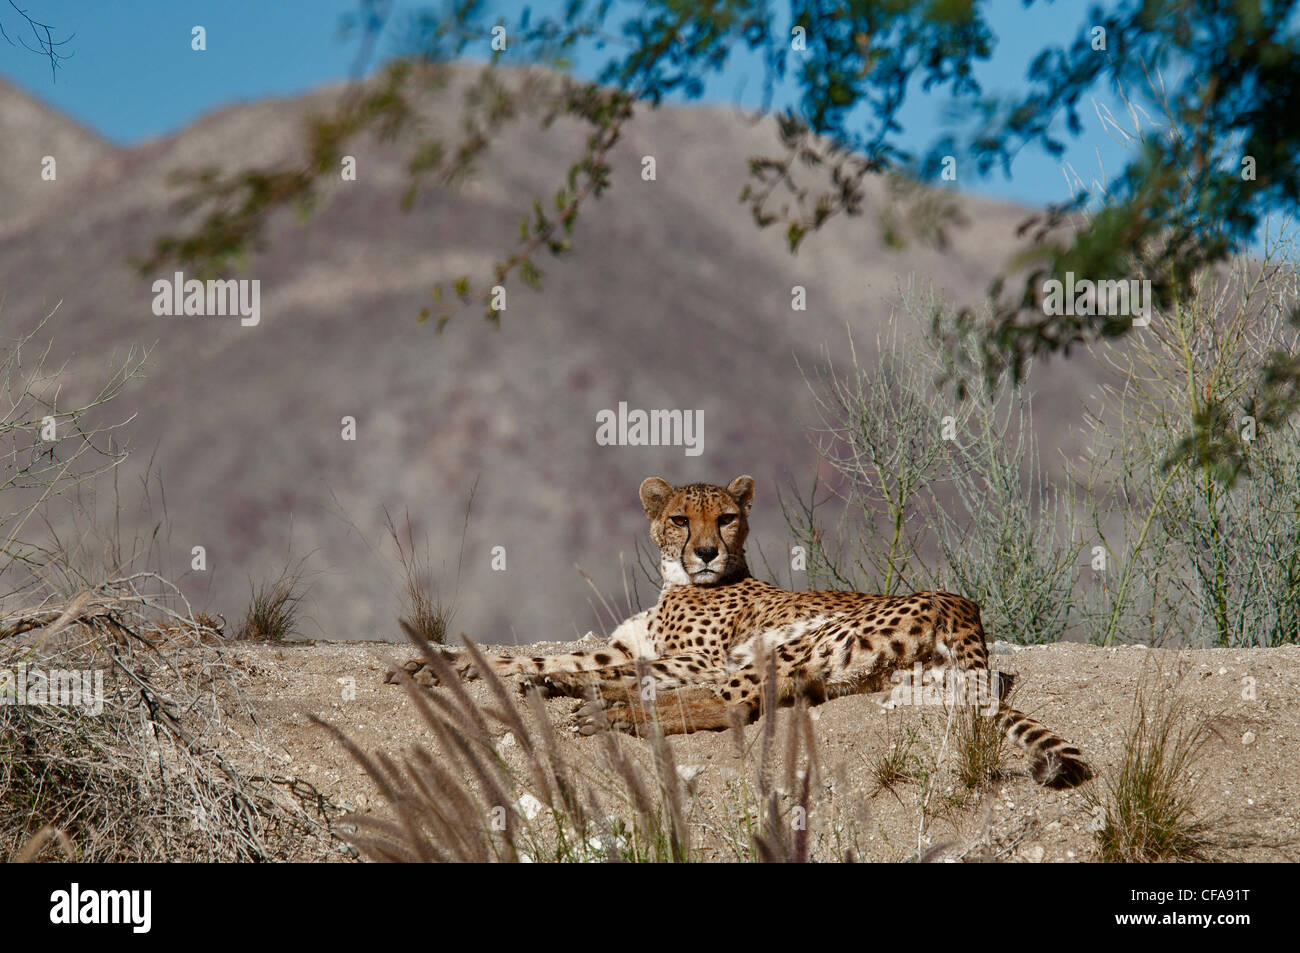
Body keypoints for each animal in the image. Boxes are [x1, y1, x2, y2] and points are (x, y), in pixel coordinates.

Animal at [388, 475, 1093, 789]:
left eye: (726, 518)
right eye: (679, 519)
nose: (704, 552)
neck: (680, 579)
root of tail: (964, 606)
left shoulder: (694, 662)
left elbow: (597, 666)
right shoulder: (629, 647)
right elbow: (547, 658)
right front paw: (440, 663)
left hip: (800, 641)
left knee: (731, 704)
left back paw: (613, 714)